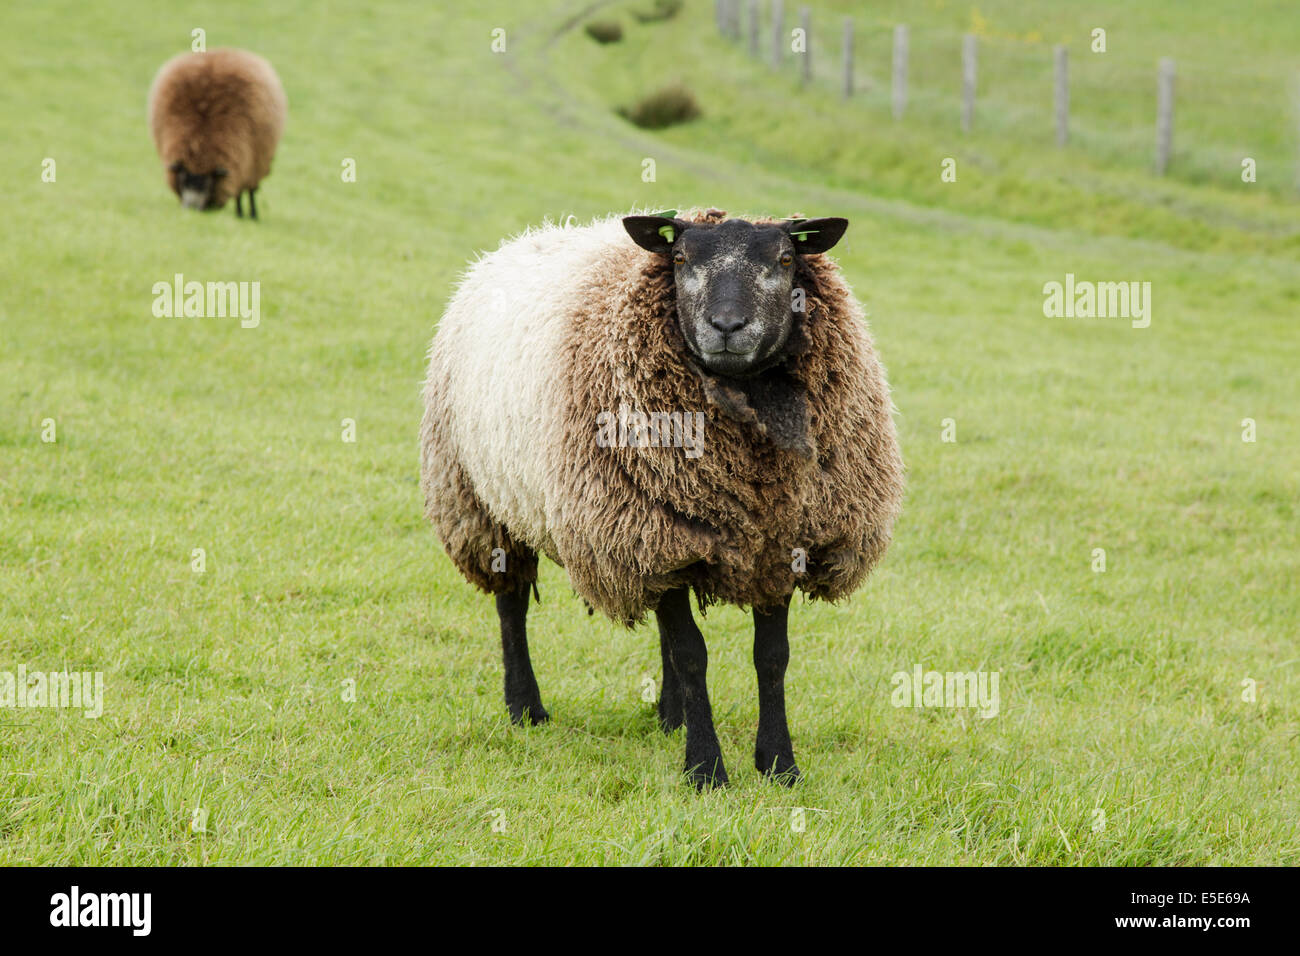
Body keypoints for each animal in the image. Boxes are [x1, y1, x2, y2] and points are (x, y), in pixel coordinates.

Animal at [148, 50, 288, 221]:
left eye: (206, 184)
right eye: (183, 179)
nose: (191, 209)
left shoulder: (245, 161)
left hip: (255, 162)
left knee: (249, 190)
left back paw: (251, 215)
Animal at [418, 205, 904, 790]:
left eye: (786, 259)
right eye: (680, 259)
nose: (727, 326)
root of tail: (524, 240)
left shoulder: (782, 540)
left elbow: (771, 656)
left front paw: (778, 764)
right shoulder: (657, 539)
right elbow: (694, 654)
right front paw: (706, 768)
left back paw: (671, 715)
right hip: (482, 502)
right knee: (511, 603)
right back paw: (525, 708)